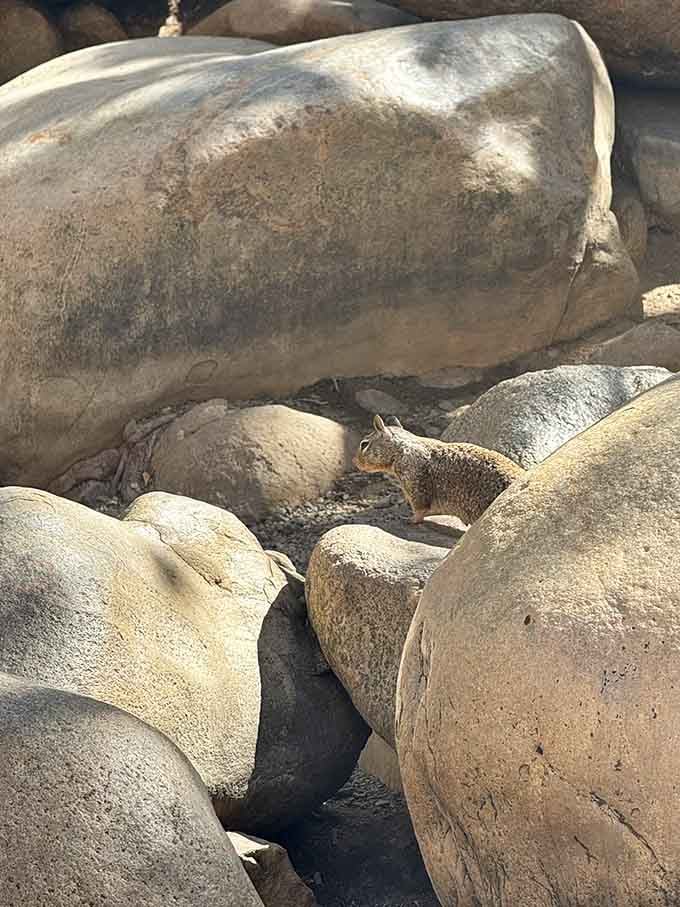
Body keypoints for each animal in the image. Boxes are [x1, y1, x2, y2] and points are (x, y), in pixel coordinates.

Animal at [354, 414, 526, 525]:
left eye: (364, 444)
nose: (355, 462)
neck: (401, 450)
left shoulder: (415, 487)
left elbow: (419, 510)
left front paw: (410, 520)